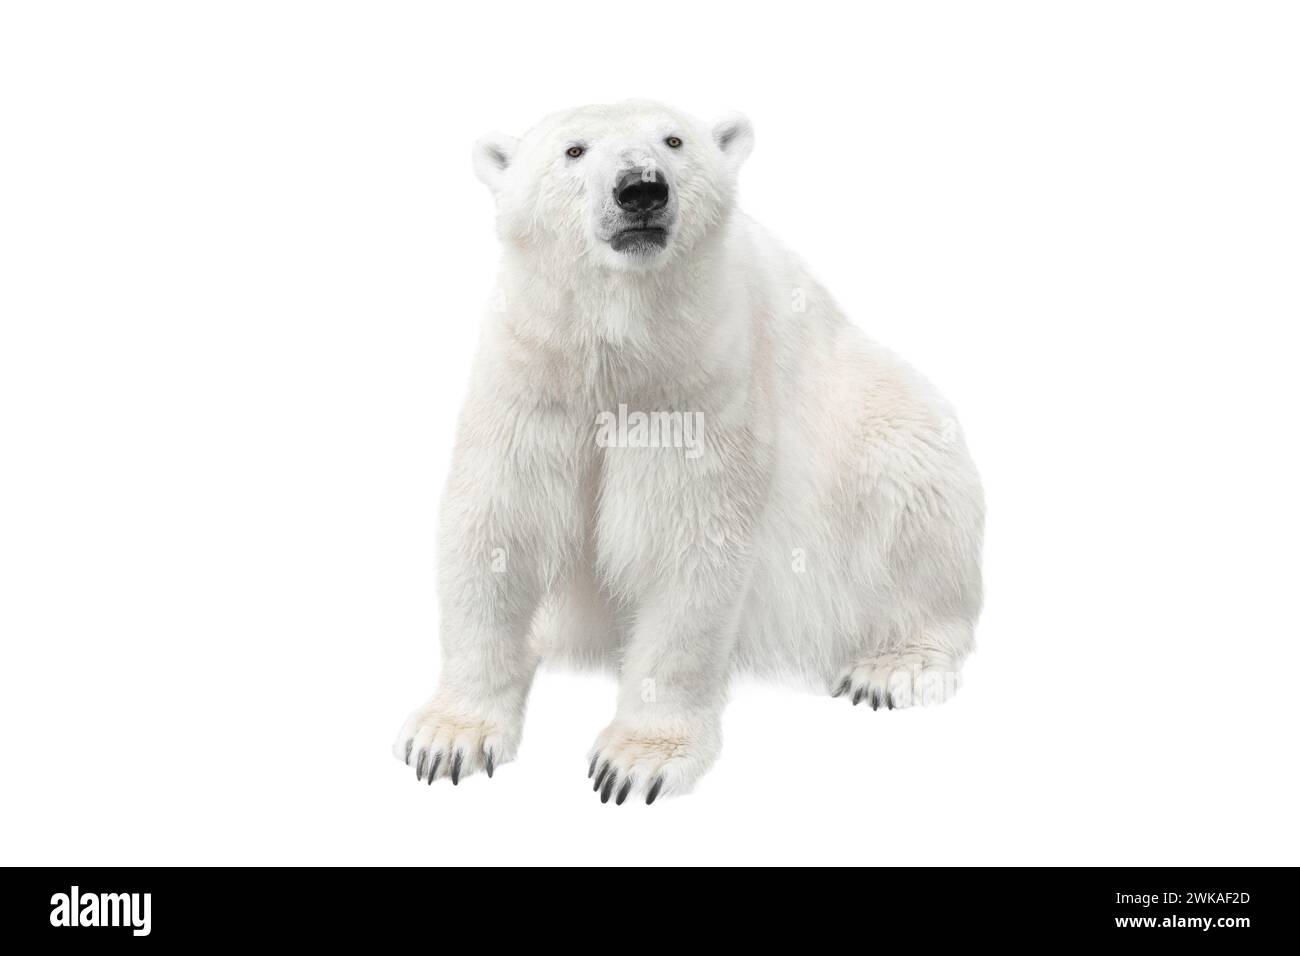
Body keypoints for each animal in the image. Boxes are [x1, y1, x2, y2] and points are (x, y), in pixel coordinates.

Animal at [394, 100, 984, 804]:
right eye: (574, 150)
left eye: (673, 141)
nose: (641, 188)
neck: (619, 347)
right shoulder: (532, 378)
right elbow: (497, 525)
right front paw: (448, 739)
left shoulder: (698, 386)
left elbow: (690, 547)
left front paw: (633, 763)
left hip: (876, 426)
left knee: (913, 488)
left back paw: (892, 667)